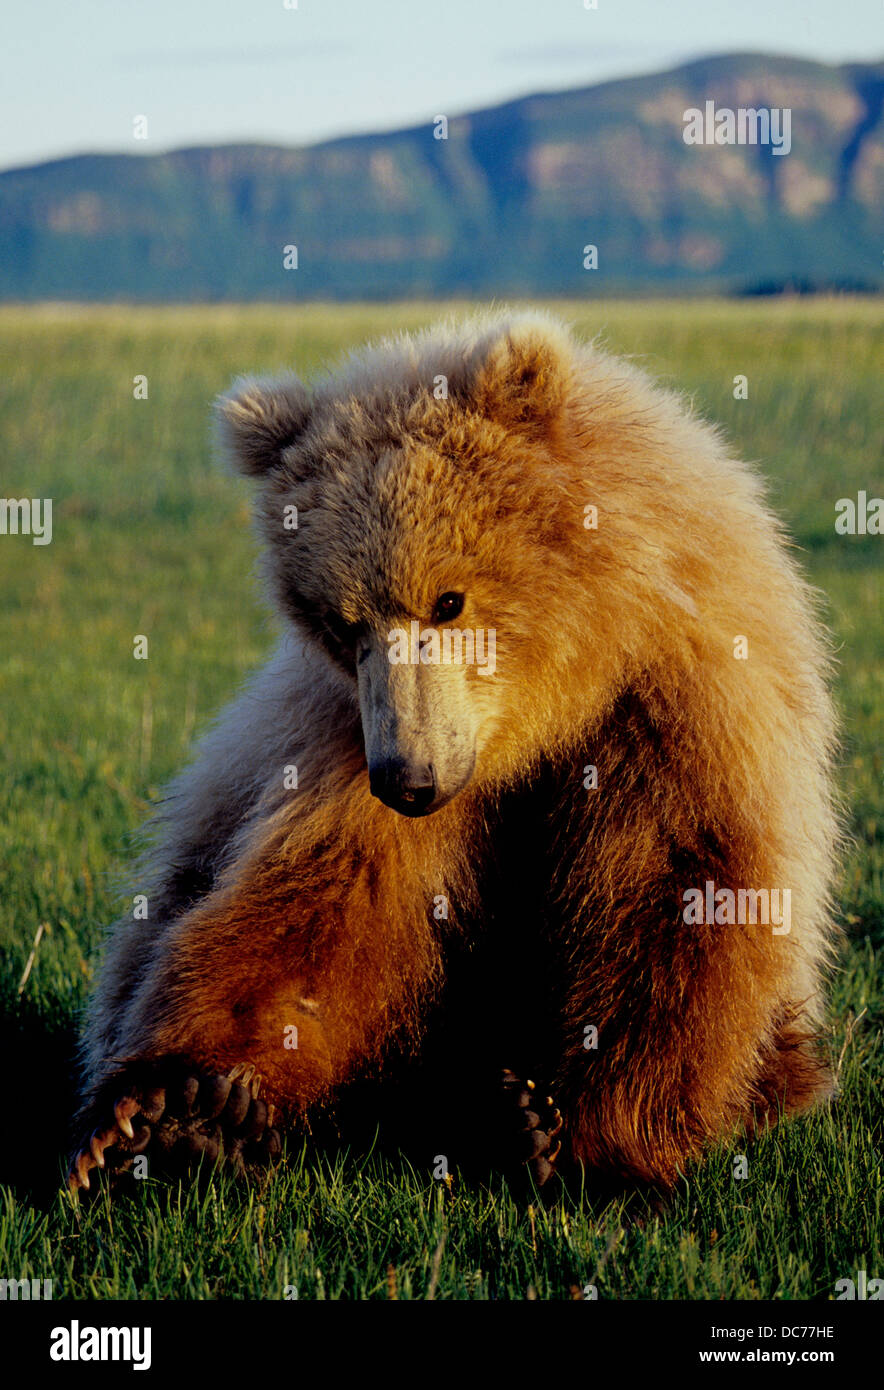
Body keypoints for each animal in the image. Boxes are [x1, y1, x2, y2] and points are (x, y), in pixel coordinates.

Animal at [68, 309, 840, 1196]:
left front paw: (584, 1136)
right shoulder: (349, 746)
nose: (408, 780)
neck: (544, 717)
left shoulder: (670, 708)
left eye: (448, 599)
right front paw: (180, 1110)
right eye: (341, 623)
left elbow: (676, 892)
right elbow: (325, 912)